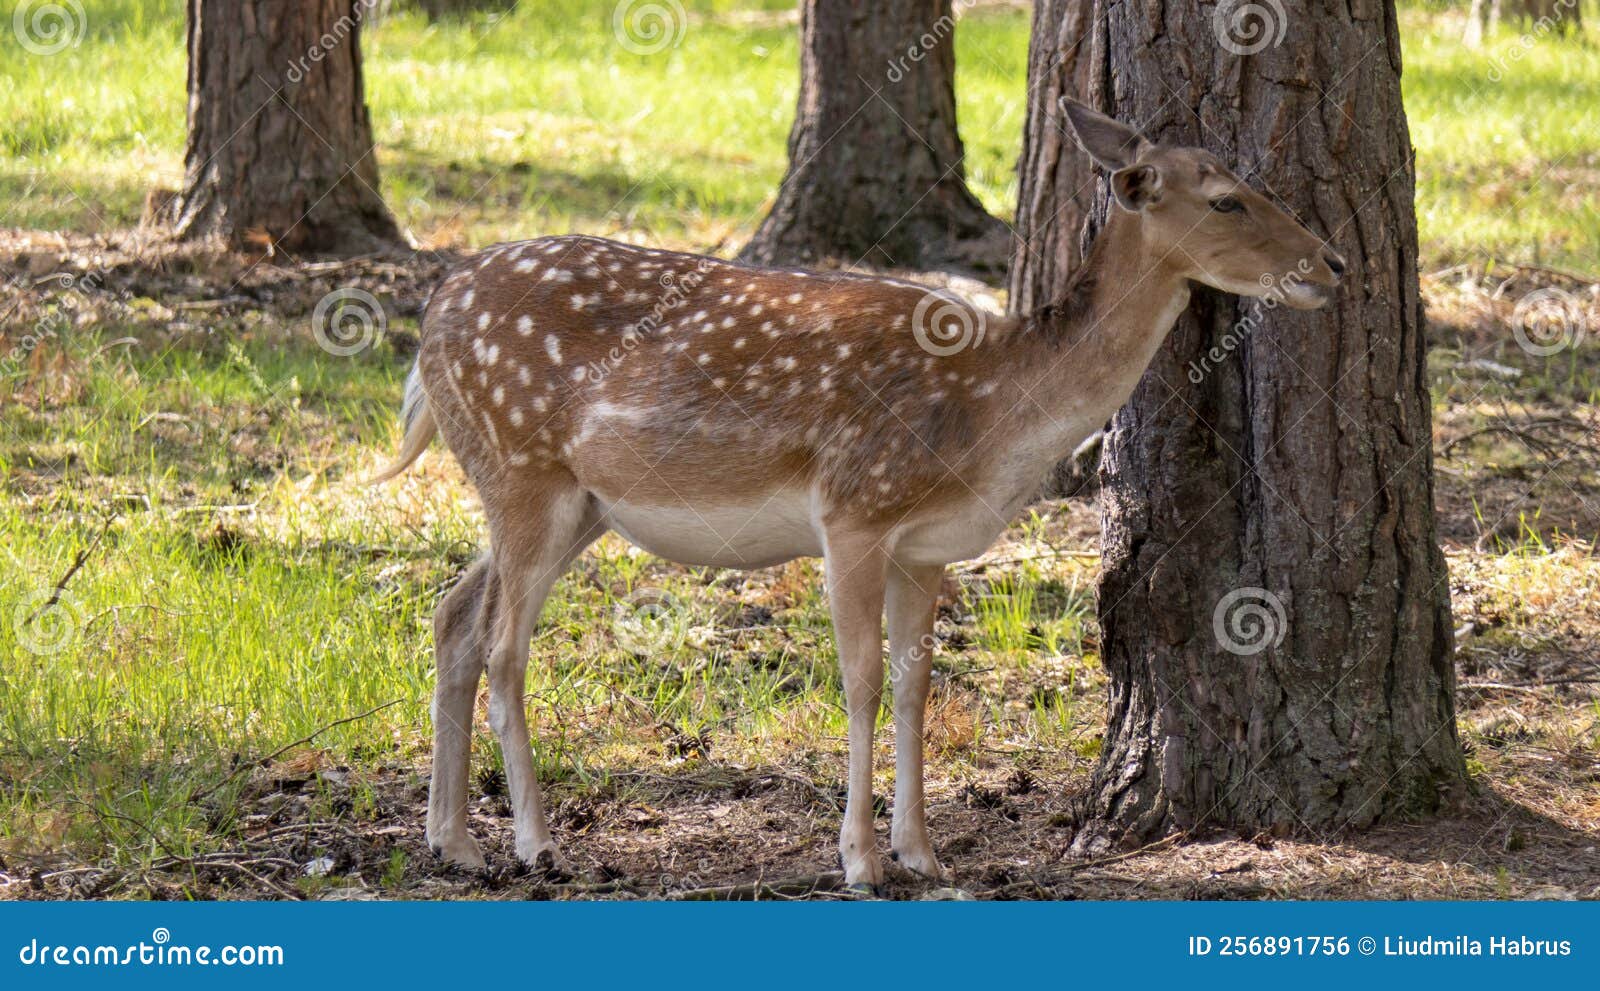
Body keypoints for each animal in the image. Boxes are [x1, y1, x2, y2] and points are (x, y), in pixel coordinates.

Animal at [373, 99, 1345, 893]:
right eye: (1225, 198)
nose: (1332, 262)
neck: (992, 408)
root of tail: (430, 324)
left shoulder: (925, 546)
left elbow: (917, 684)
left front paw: (923, 851)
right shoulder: (853, 508)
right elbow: (863, 678)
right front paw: (860, 859)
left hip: (573, 499)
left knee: (452, 615)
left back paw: (452, 841)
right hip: (522, 464)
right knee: (505, 647)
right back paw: (534, 844)